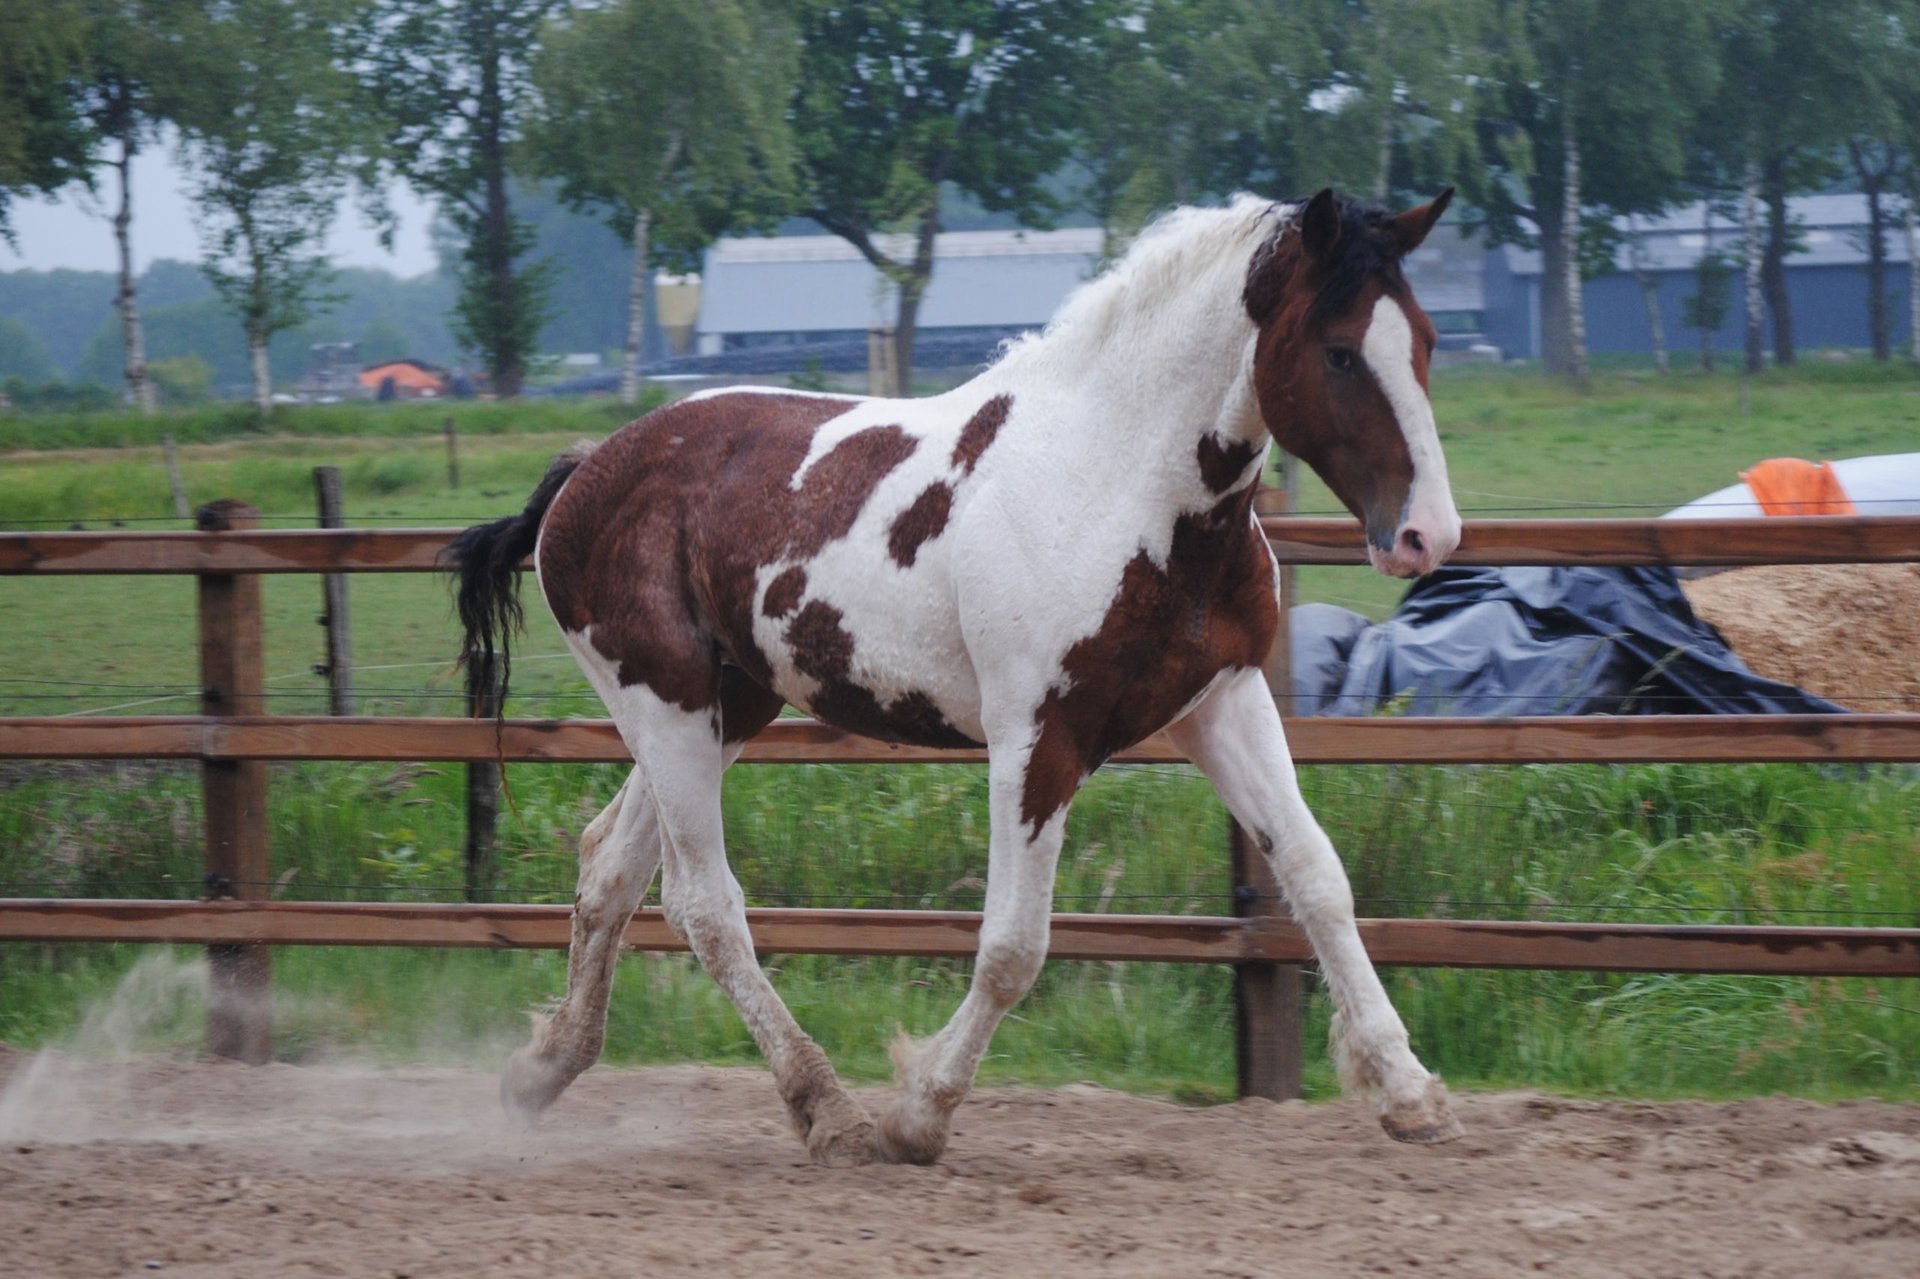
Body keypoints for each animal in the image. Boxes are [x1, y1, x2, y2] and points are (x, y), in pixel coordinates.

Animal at [449, 187, 1465, 1166]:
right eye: (1339, 352)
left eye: (1425, 340)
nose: (1428, 535)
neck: (1112, 485)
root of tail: (587, 473)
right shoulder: (1037, 740)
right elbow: (1014, 945)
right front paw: (920, 1113)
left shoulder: (1223, 704)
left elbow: (1317, 877)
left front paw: (1411, 1093)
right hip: (664, 706)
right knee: (704, 904)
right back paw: (830, 1112)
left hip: (722, 709)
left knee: (610, 864)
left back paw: (543, 1068)